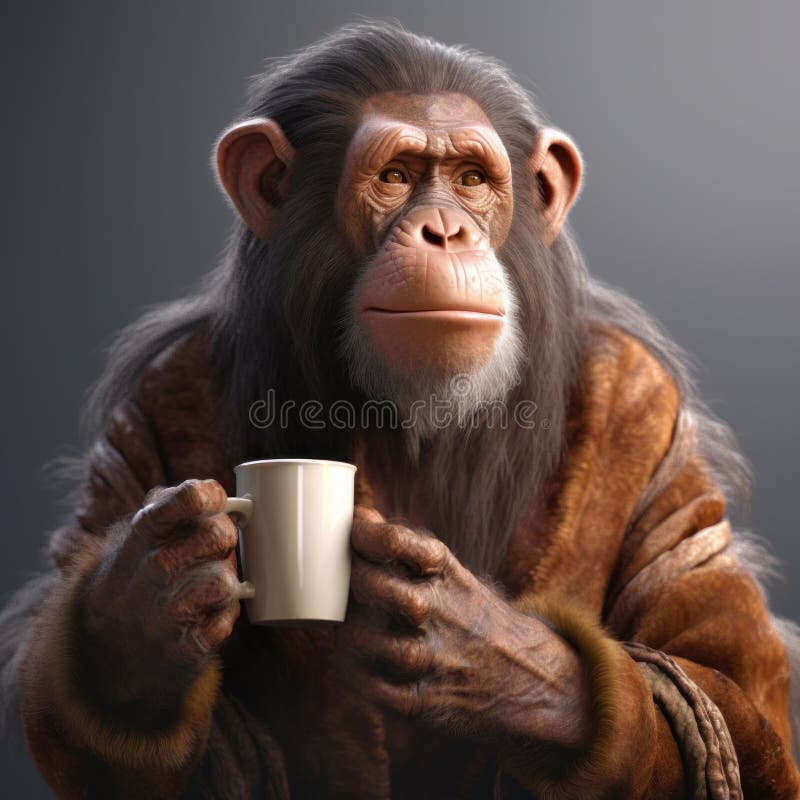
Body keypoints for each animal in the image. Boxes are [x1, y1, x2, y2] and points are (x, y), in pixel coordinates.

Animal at [1, 18, 798, 800]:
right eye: (396, 177)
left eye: (472, 179)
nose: (445, 230)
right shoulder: (148, 404)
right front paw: (141, 605)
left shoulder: (649, 404)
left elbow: (731, 689)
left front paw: (471, 644)